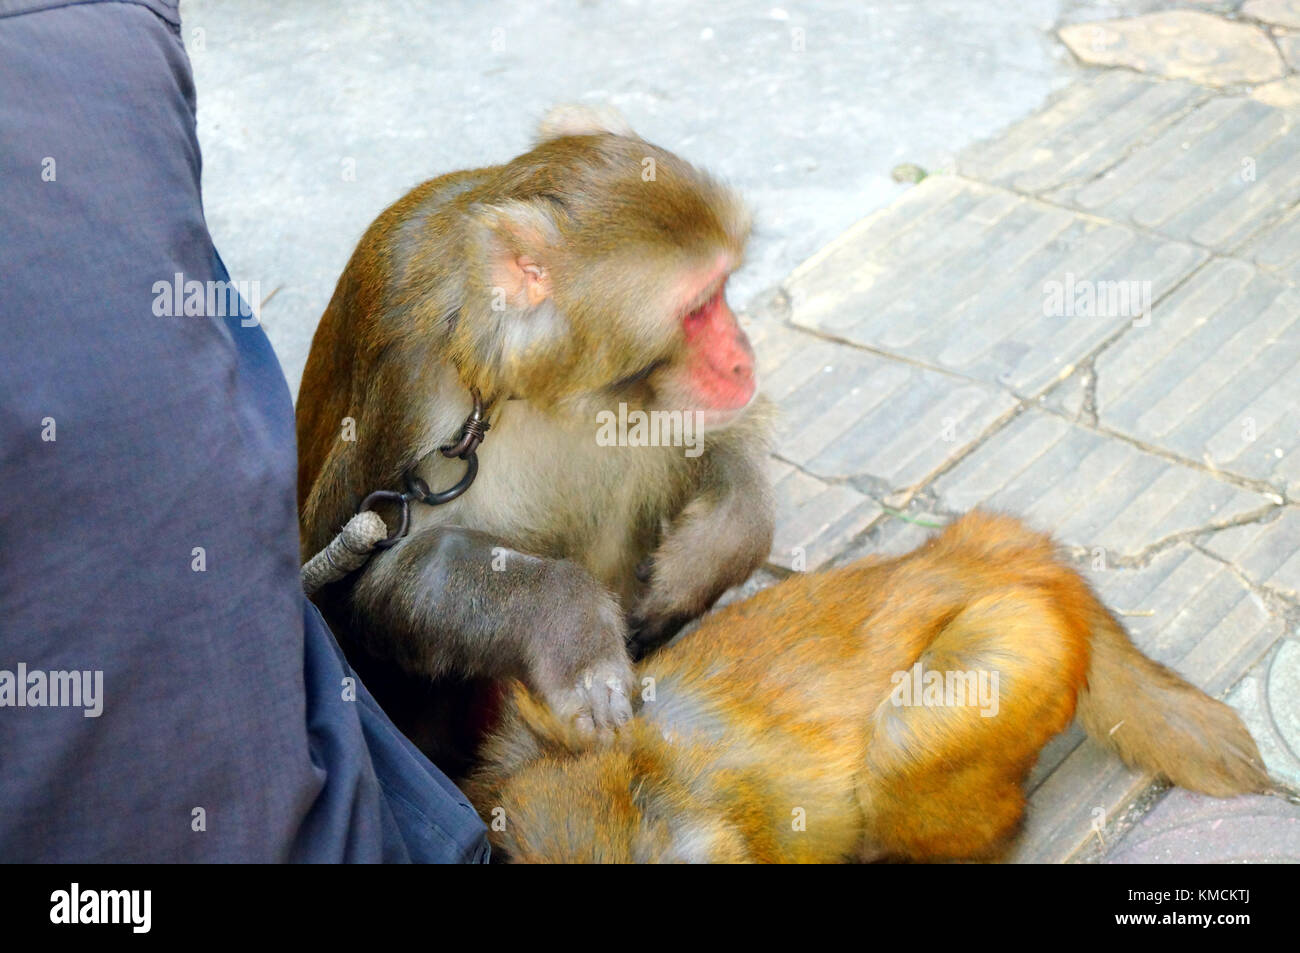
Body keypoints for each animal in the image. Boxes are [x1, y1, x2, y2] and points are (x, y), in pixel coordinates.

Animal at [295, 106, 774, 768]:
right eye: (699, 308)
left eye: (723, 290)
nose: (742, 359)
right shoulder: (402, 394)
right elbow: (365, 594)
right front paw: (567, 621)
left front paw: (711, 550)